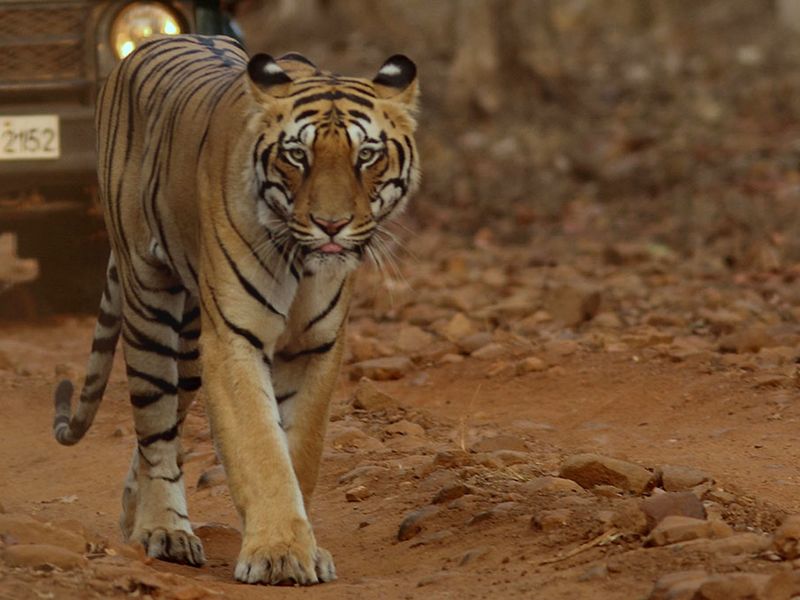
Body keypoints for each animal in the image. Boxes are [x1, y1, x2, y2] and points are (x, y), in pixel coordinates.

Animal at [51, 34, 419, 586]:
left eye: (367, 155)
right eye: (297, 155)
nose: (331, 225)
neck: (301, 265)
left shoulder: (315, 346)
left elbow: (300, 450)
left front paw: (302, 545)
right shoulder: (233, 339)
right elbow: (260, 447)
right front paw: (279, 553)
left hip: (188, 347)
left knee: (161, 429)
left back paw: (133, 516)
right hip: (149, 301)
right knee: (155, 429)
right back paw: (163, 530)